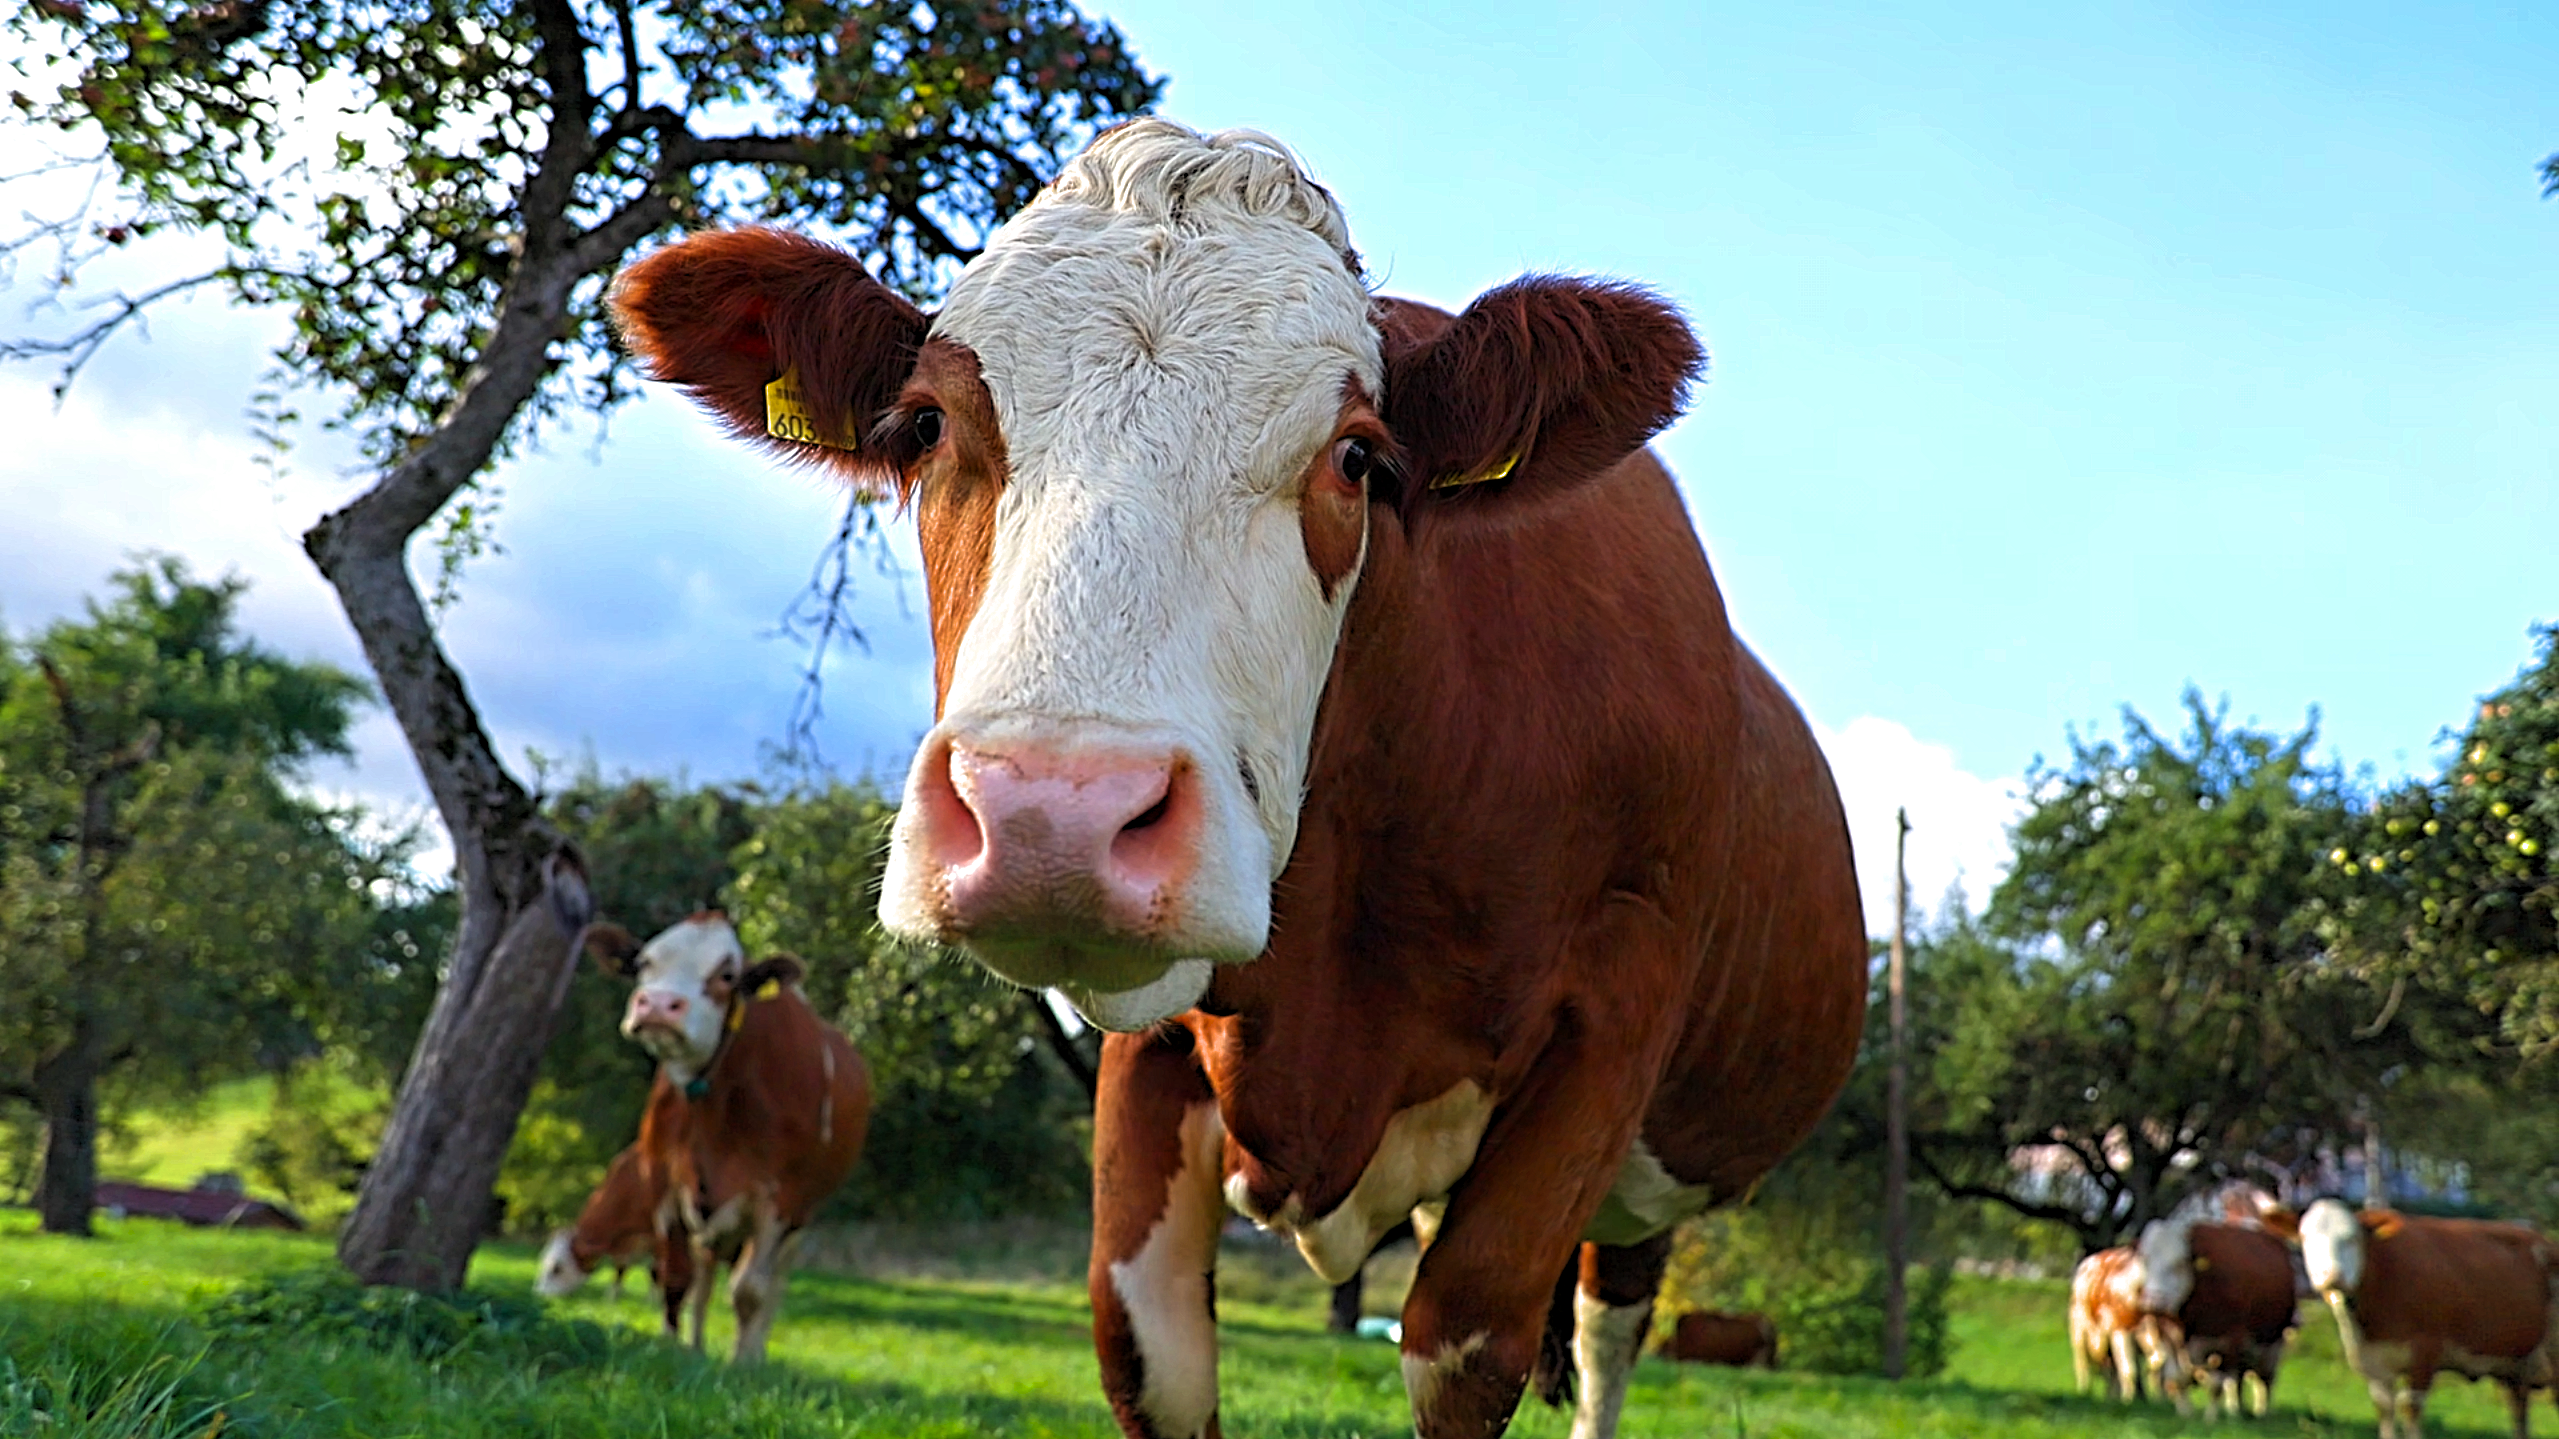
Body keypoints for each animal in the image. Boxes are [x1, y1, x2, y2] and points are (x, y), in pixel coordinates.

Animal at [583, 914, 871, 1363]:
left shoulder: (780, 1199)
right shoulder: (666, 1184)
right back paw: (698, 1342)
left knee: (773, 1284)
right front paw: (676, 1349)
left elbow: (750, 1292)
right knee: (703, 1276)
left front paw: (742, 1364)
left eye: (727, 975)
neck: (713, 1108)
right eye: (644, 962)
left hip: (802, 1217)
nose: (658, 1005)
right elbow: (674, 1278)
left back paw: (755, 1353)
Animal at [2069, 1246, 2153, 1402]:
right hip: (2079, 1330)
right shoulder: (2120, 1332)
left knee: (2112, 1369)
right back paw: (2085, 1392)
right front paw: (2129, 1400)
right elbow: (2129, 1370)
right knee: (2082, 1362)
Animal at [2136, 1215, 2298, 1418]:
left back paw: (2260, 1412)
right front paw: (2185, 1413)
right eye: (2146, 1261)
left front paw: (2211, 1418)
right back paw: (2236, 1409)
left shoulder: (2231, 1340)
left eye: (2179, 1264)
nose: (2153, 1303)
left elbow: (2218, 1384)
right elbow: (2177, 1378)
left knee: (2263, 1379)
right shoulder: (2168, 1337)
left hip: (2272, 1343)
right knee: (2239, 1379)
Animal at [2297, 1197, 2559, 1439]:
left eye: (2351, 1238)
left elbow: (2409, 1407)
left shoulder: (2425, 1351)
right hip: (2517, 1367)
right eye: (2305, 1239)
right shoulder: (2374, 1363)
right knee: (2519, 1412)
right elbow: (2384, 1408)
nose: (2332, 1277)